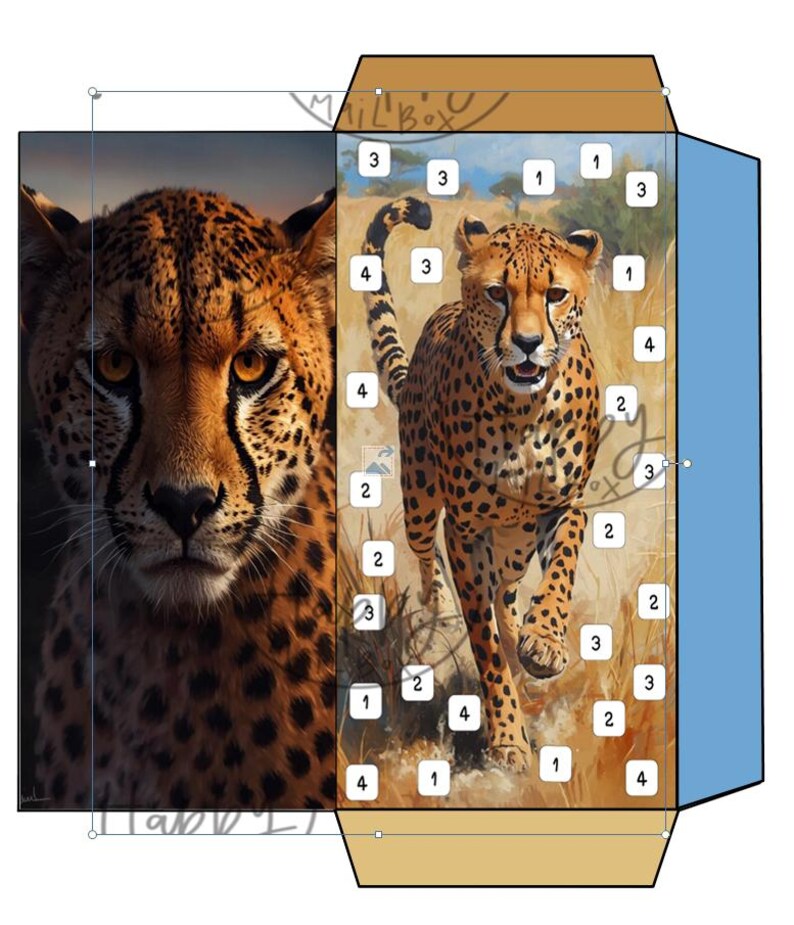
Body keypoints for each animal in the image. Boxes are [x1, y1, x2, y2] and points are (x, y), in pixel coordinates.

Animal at [362, 197, 603, 771]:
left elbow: (561, 568)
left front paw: (544, 641)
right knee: (429, 558)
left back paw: (523, 644)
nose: (528, 345)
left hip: (514, 542)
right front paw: (508, 740)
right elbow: (483, 645)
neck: (524, 408)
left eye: (556, 294)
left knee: (507, 589)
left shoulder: (568, 505)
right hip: (421, 499)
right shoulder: (465, 531)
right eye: (498, 293)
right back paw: (444, 612)